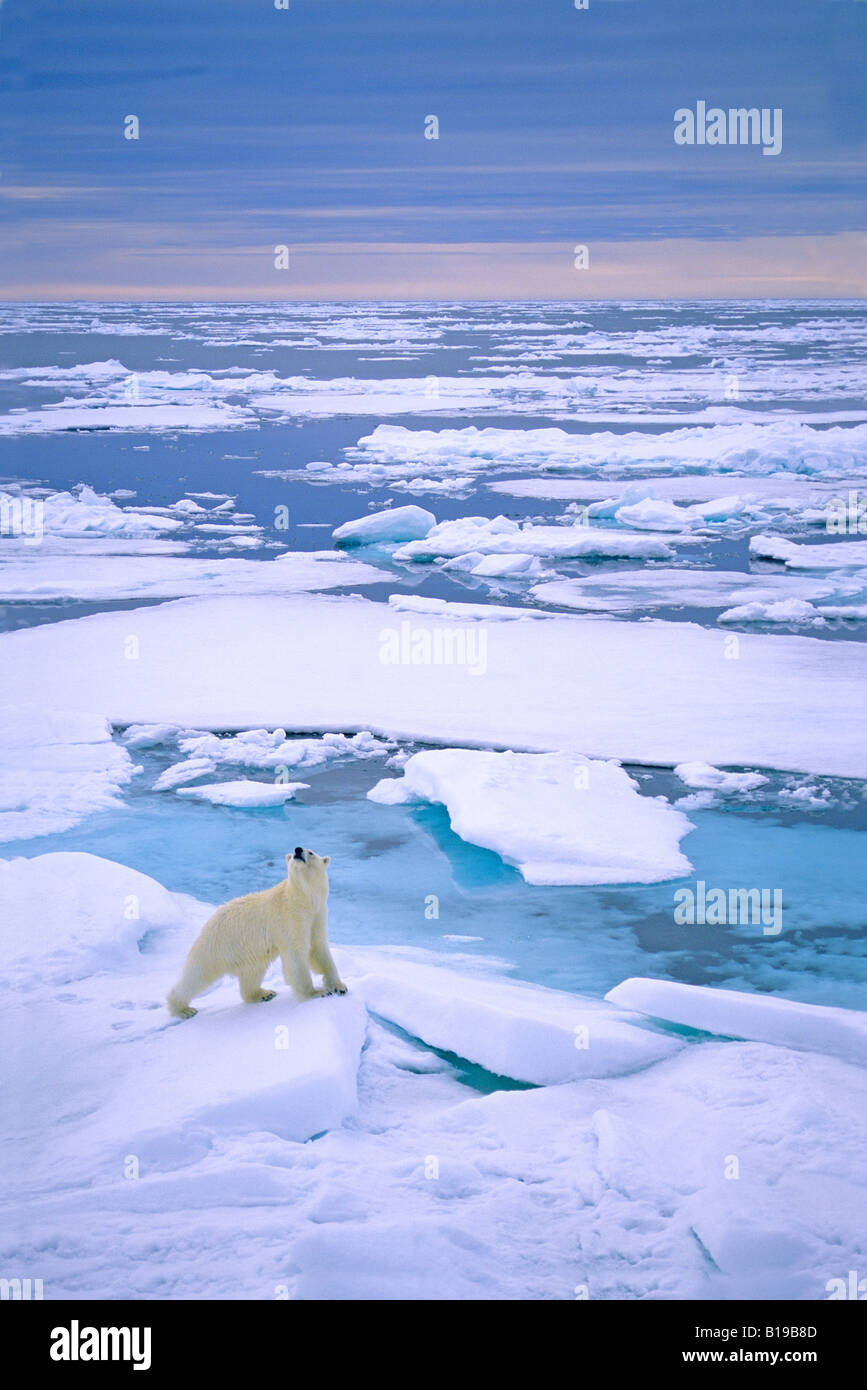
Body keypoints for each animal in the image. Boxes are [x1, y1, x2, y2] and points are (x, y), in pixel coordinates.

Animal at [167, 847, 347, 1019]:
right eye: (295, 851)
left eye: (311, 852)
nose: (297, 849)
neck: (303, 899)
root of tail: (210, 921)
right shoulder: (290, 918)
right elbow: (296, 956)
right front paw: (316, 992)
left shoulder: (317, 916)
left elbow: (318, 949)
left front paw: (339, 987)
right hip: (217, 944)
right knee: (196, 975)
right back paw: (183, 1009)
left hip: (247, 952)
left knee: (252, 973)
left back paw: (263, 993)